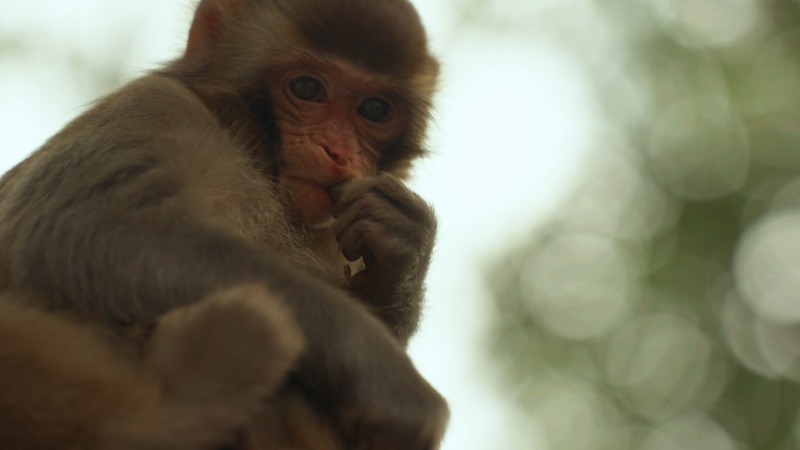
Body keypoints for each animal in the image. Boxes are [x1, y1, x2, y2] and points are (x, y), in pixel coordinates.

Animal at [0, 0, 446, 449]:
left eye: (375, 110)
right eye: (307, 89)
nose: (337, 151)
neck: (251, 149)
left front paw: (401, 249)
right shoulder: (155, 108)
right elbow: (77, 225)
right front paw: (374, 362)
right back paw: (169, 414)